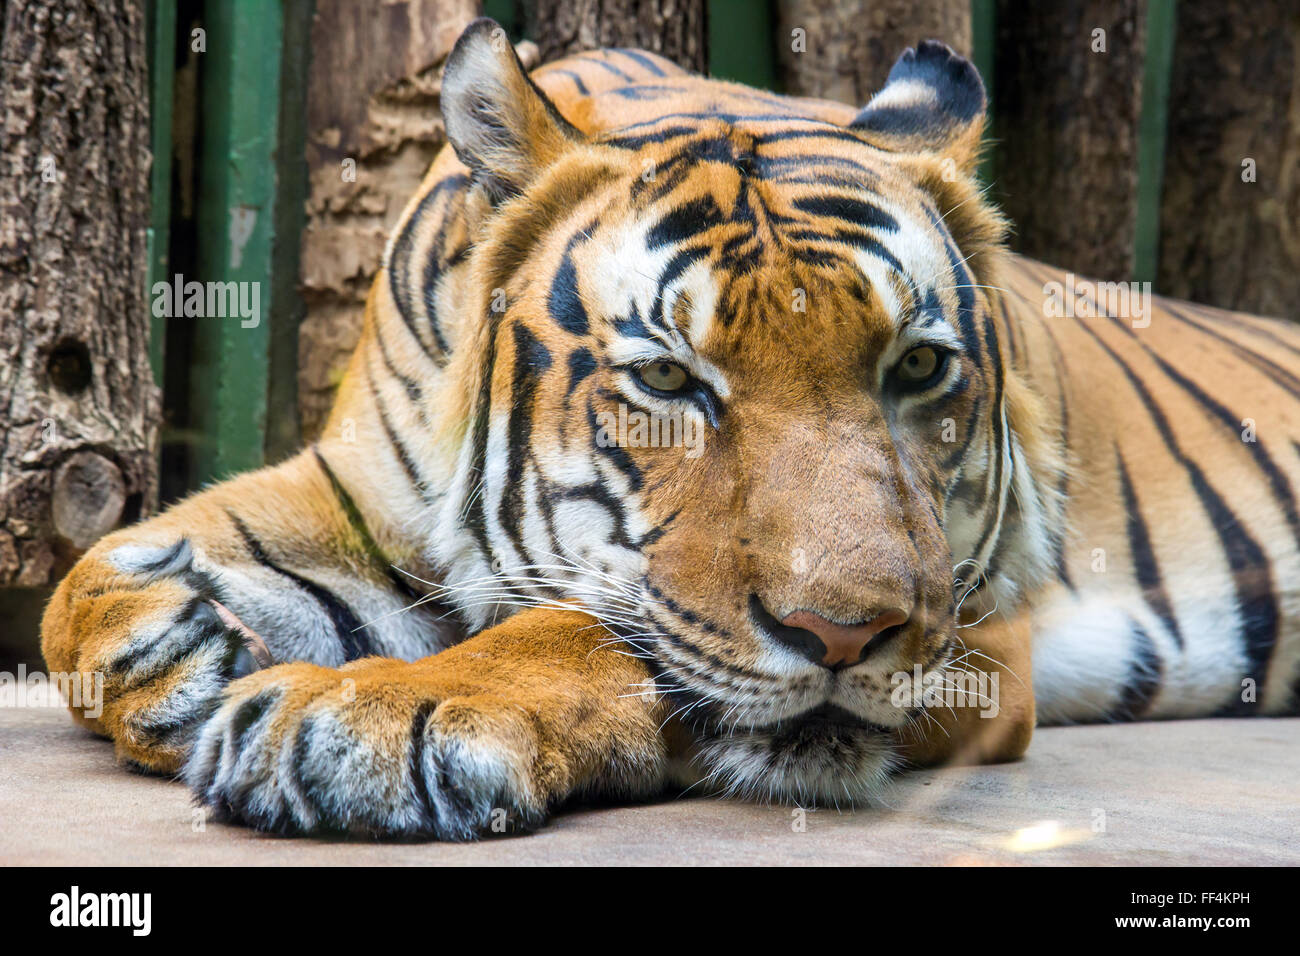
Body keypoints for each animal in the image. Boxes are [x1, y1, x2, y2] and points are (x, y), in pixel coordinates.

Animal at [40, 17, 1300, 840]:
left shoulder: (980, 630)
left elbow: (593, 632)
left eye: (917, 366)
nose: (845, 638)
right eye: (666, 377)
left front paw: (371, 713)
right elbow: (82, 582)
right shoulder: (362, 483)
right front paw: (181, 642)